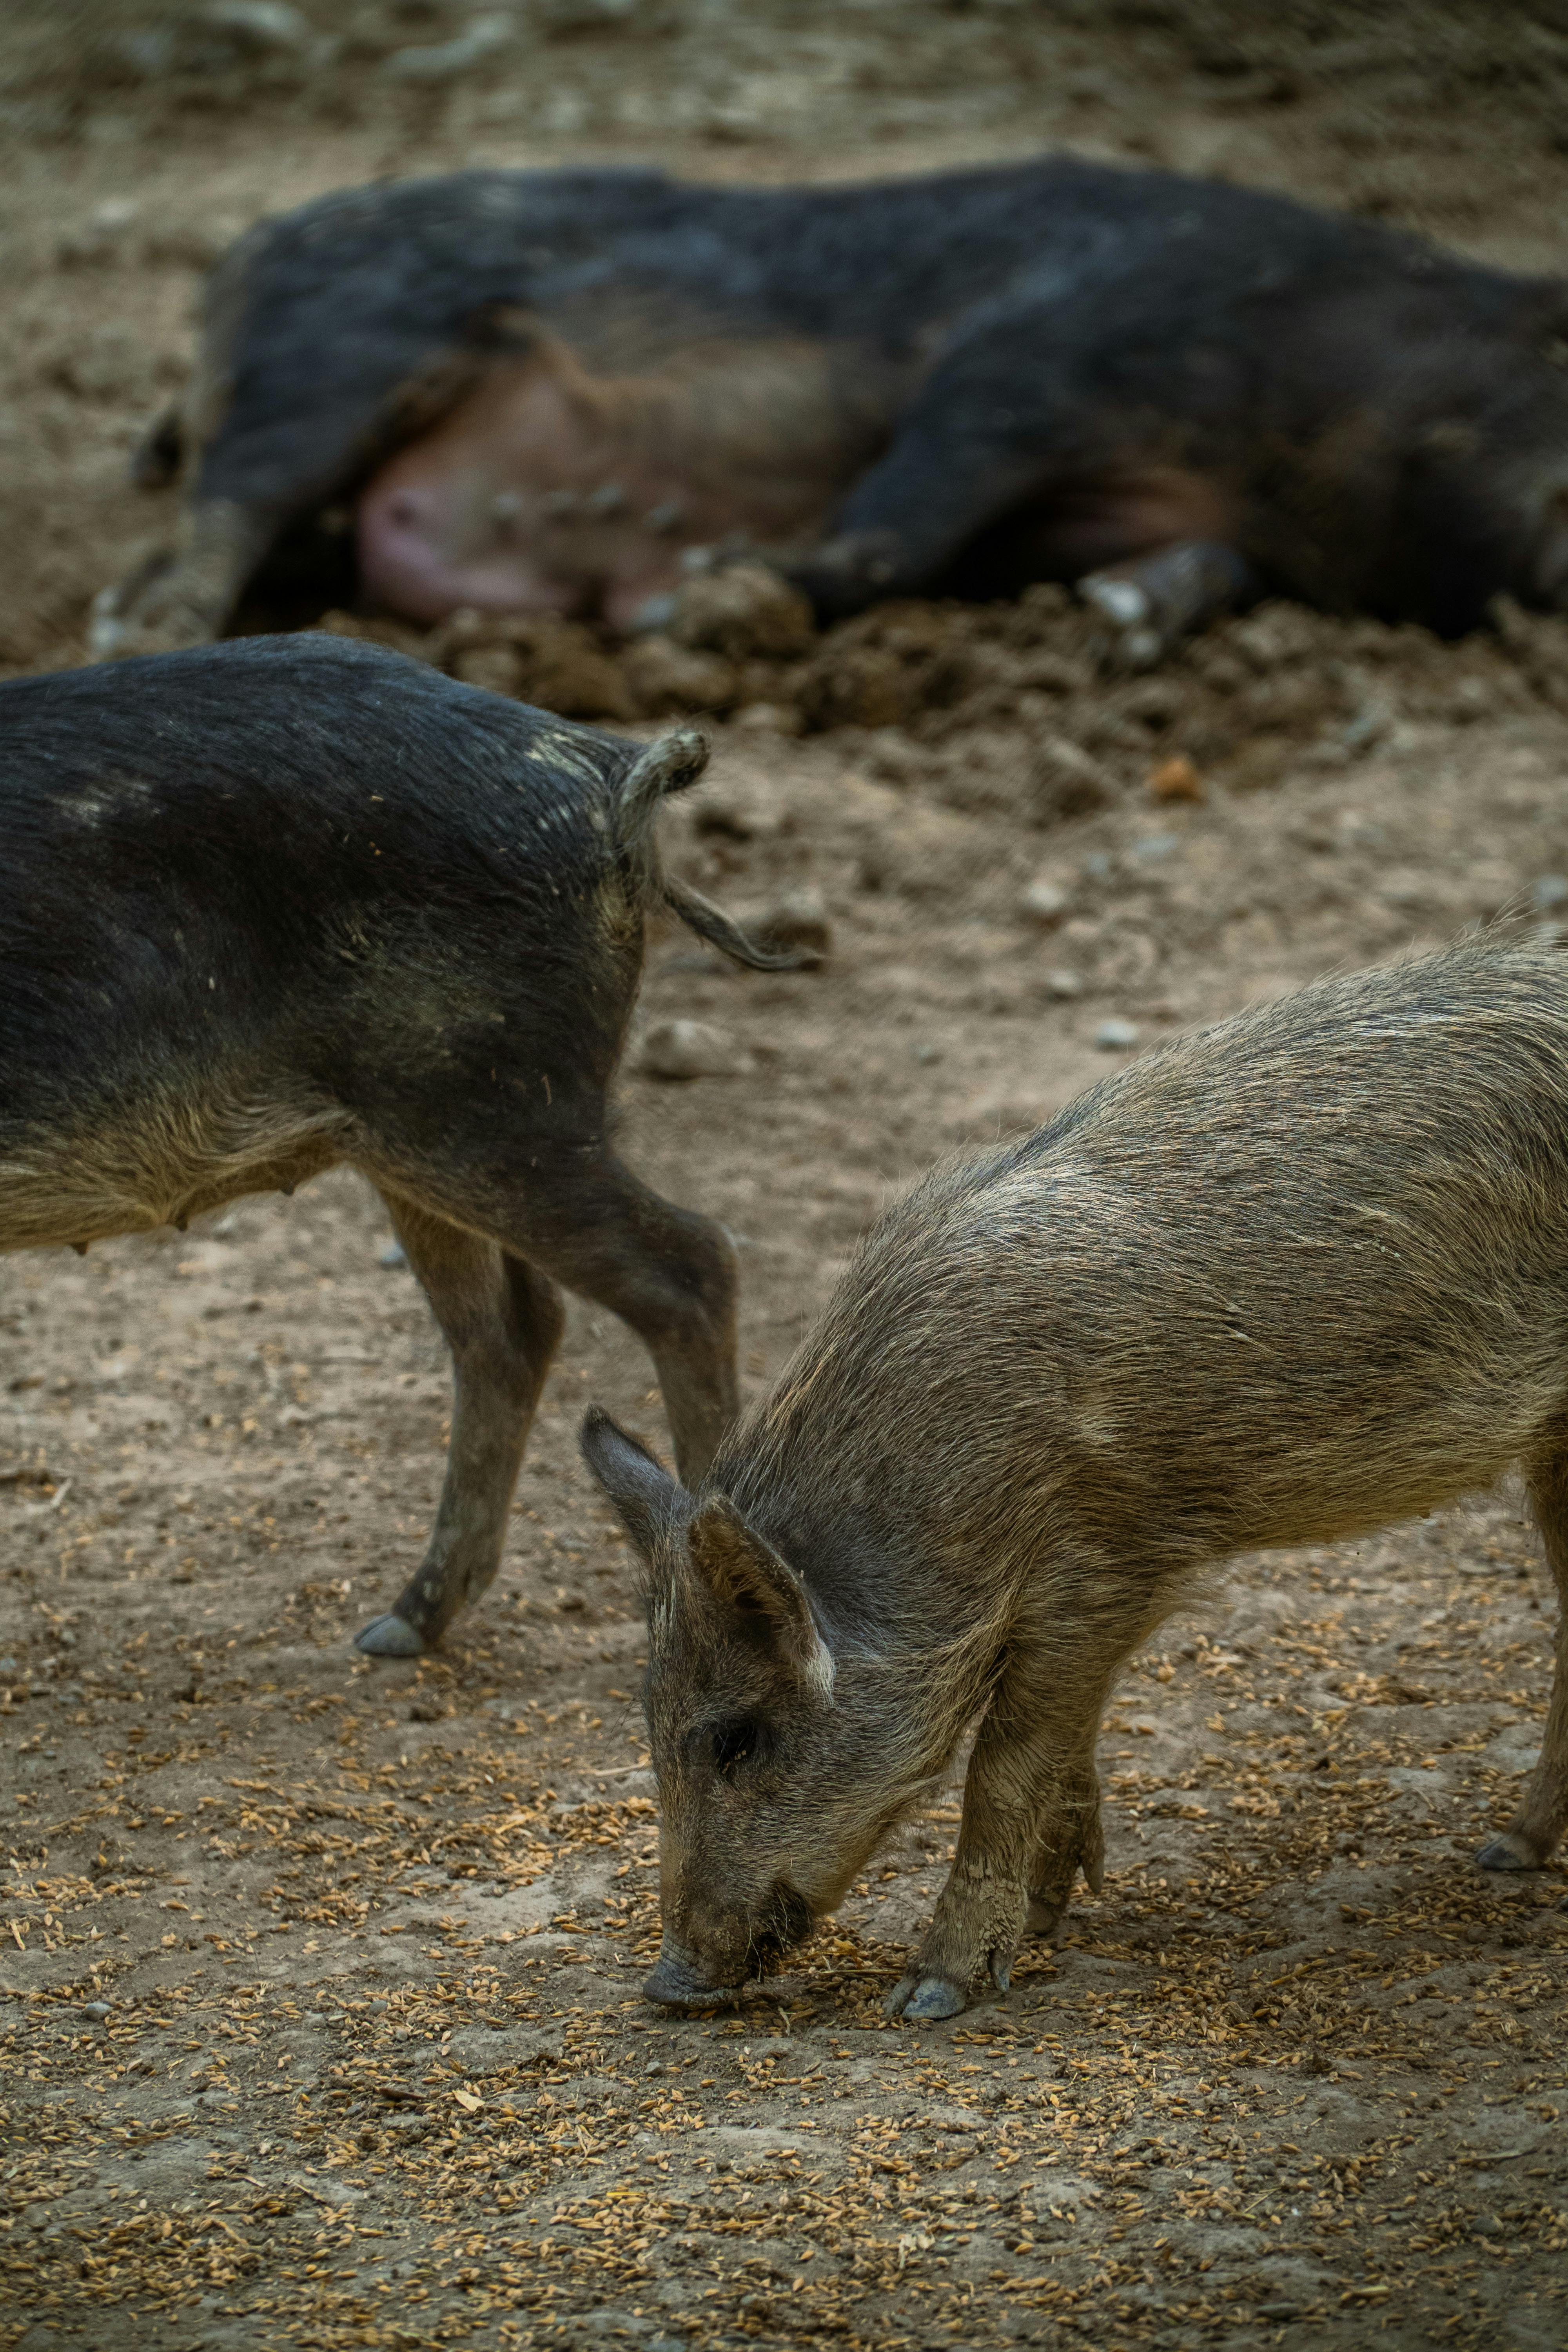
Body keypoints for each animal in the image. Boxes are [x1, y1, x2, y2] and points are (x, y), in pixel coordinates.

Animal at [0, 632, 793, 1658]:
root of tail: (601, 765)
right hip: (422, 1138)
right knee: (512, 1331)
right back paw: (395, 1632)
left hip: (492, 1106)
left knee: (691, 1267)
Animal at [94, 156, 1568, 673]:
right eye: (1556, 368)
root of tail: (241, 256)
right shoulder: (1032, 355)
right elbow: (897, 524)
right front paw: (703, 602)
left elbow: (1208, 567)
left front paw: (1120, 622)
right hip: (333, 353)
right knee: (223, 507)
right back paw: (143, 631)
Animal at [583, 933, 1568, 2017]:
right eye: (647, 1715)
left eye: (737, 1737)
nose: (668, 1984)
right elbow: (1065, 1744)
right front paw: (1053, 1917)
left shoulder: (1110, 1565)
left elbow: (1004, 1761)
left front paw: (930, 1996)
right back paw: (1505, 1853)